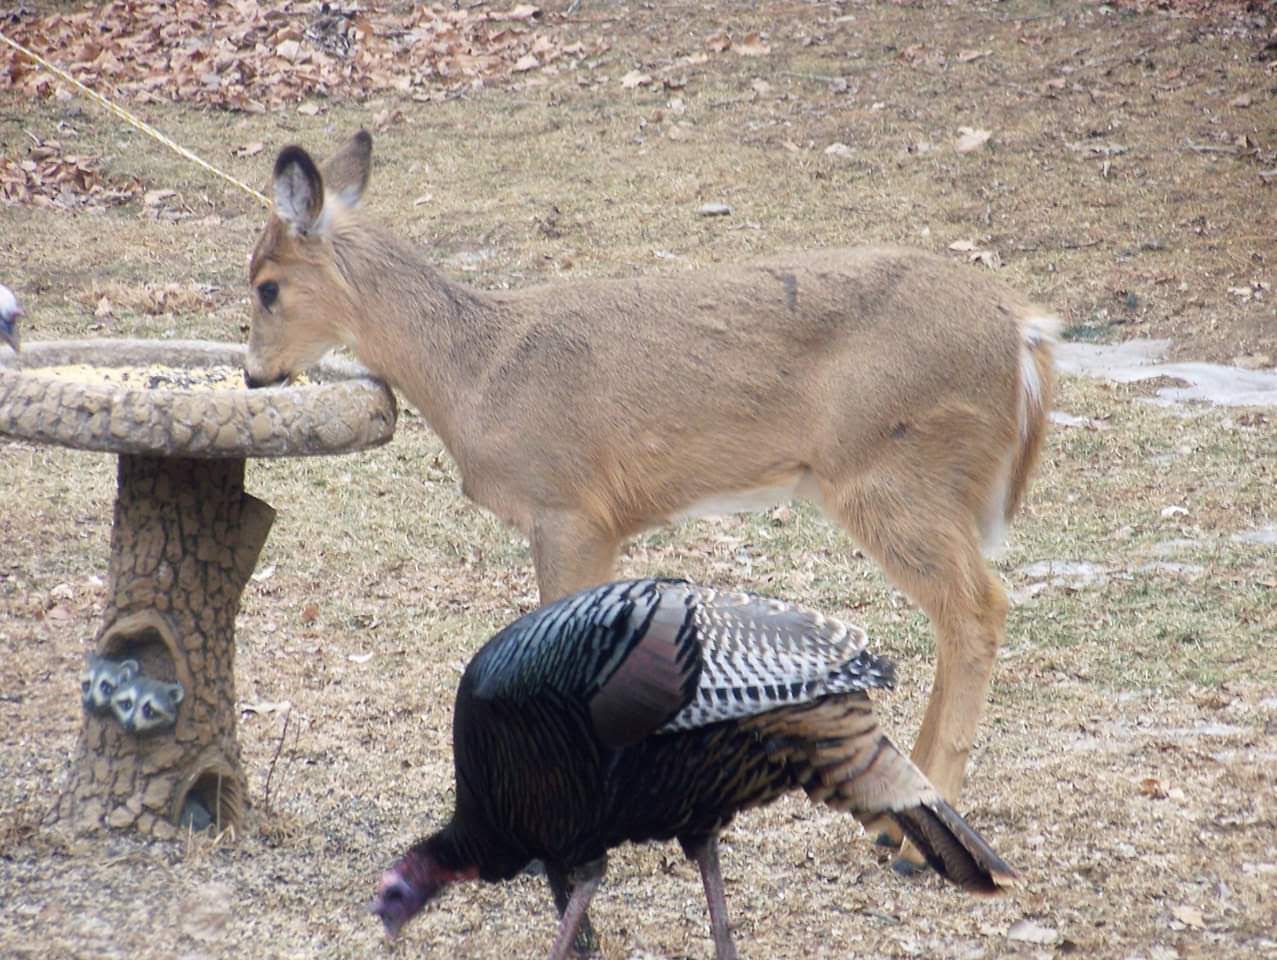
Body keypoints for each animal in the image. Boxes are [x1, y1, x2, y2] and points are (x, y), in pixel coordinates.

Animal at [245, 131, 1055, 884]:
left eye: (265, 286)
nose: (254, 377)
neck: (475, 373)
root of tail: (1023, 334)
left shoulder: (569, 507)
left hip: (889, 472)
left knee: (978, 606)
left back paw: (918, 845)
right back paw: (896, 823)